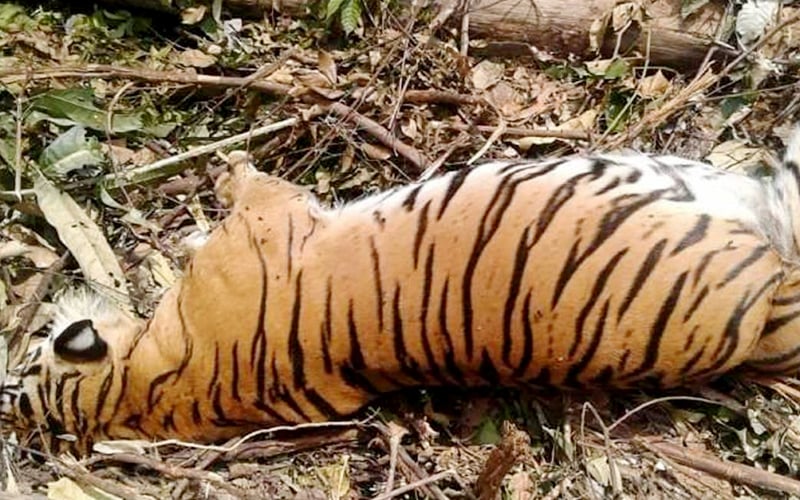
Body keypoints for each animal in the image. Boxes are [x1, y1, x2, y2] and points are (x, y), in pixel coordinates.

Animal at [4, 133, 800, 453]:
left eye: (32, 354)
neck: (144, 391)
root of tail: (761, 322)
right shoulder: (270, 220)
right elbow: (251, 187)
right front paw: (225, 175)